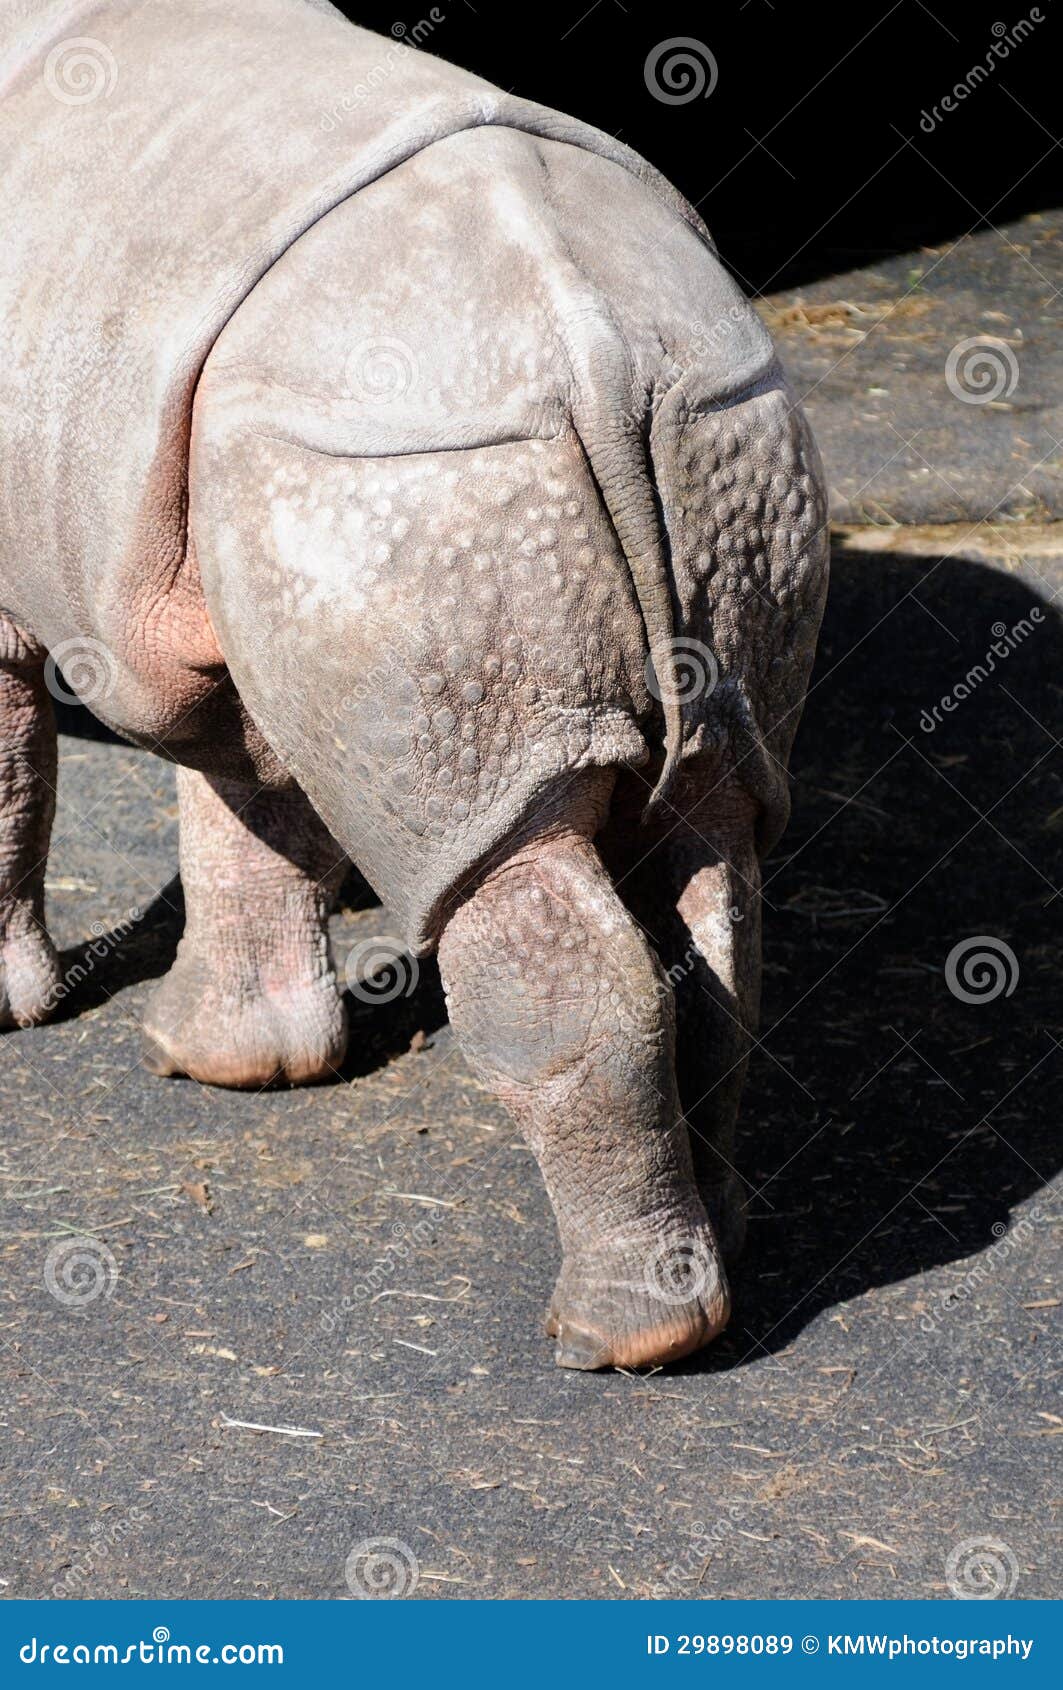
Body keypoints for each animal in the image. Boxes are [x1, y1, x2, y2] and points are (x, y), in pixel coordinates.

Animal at [0, 0, 828, 1369]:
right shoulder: (245, 560)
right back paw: (720, 1263)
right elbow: (249, 789)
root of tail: (599, 354)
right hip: (704, 435)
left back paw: (606, 1346)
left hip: (420, 468)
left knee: (499, 862)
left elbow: (27, 771)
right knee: (712, 836)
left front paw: (20, 1012)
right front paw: (234, 1064)